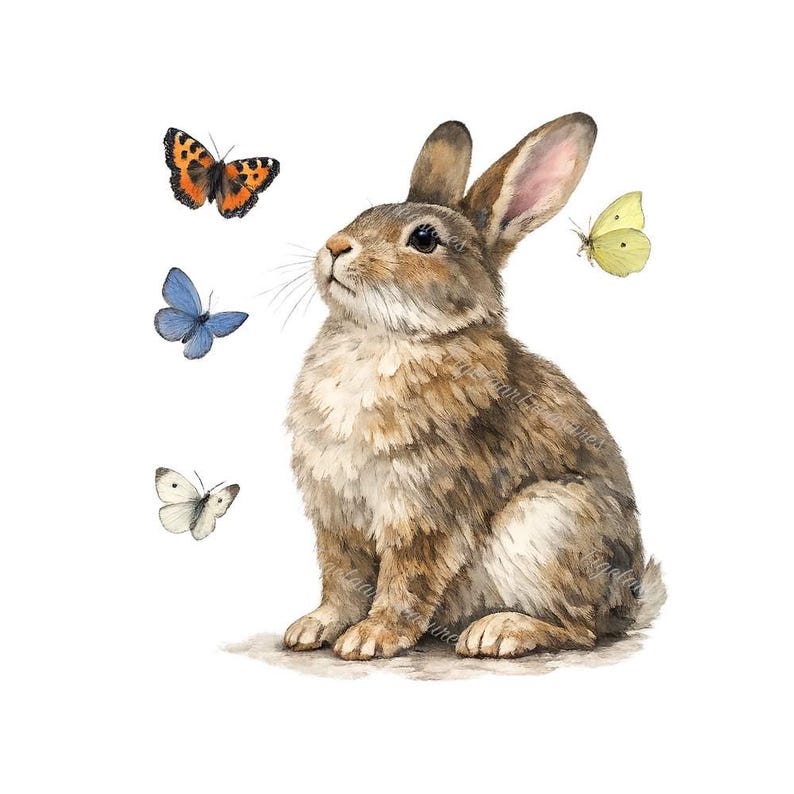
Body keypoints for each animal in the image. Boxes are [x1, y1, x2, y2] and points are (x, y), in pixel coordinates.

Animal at [283, 113, 665, 660]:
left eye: (424, 238)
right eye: (363, 214)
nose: (335, 247)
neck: (393, 335)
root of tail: (631, 602)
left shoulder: (426, 510)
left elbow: (405, 583)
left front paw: (371, 639)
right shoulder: (336, 515)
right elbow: (342, 581)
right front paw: (313, 628)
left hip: (551, 521)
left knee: (582, 631)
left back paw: (500, 632)